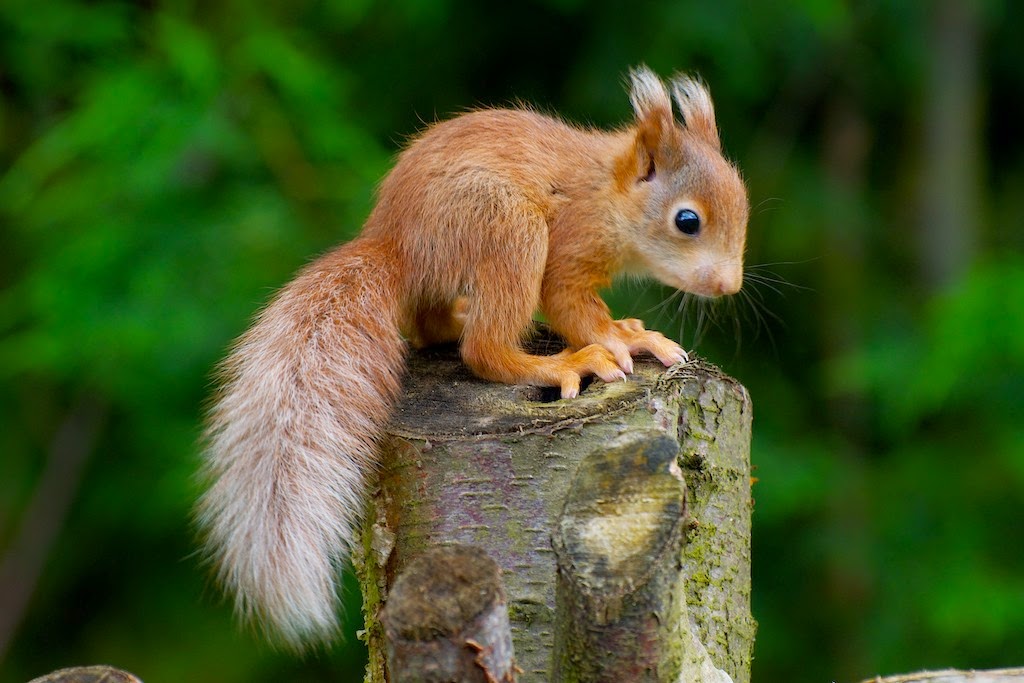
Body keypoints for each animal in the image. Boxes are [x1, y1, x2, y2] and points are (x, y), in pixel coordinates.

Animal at [196, 66, 748, 649]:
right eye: (686, 221)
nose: (728, 285)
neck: (609, 192)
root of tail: (395, 244)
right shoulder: (571, 244)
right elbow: (569, 303)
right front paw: (624, 341)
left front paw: (629, 329)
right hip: (506, 227)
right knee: (482, 350)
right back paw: (559, 363)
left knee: (429, 328)